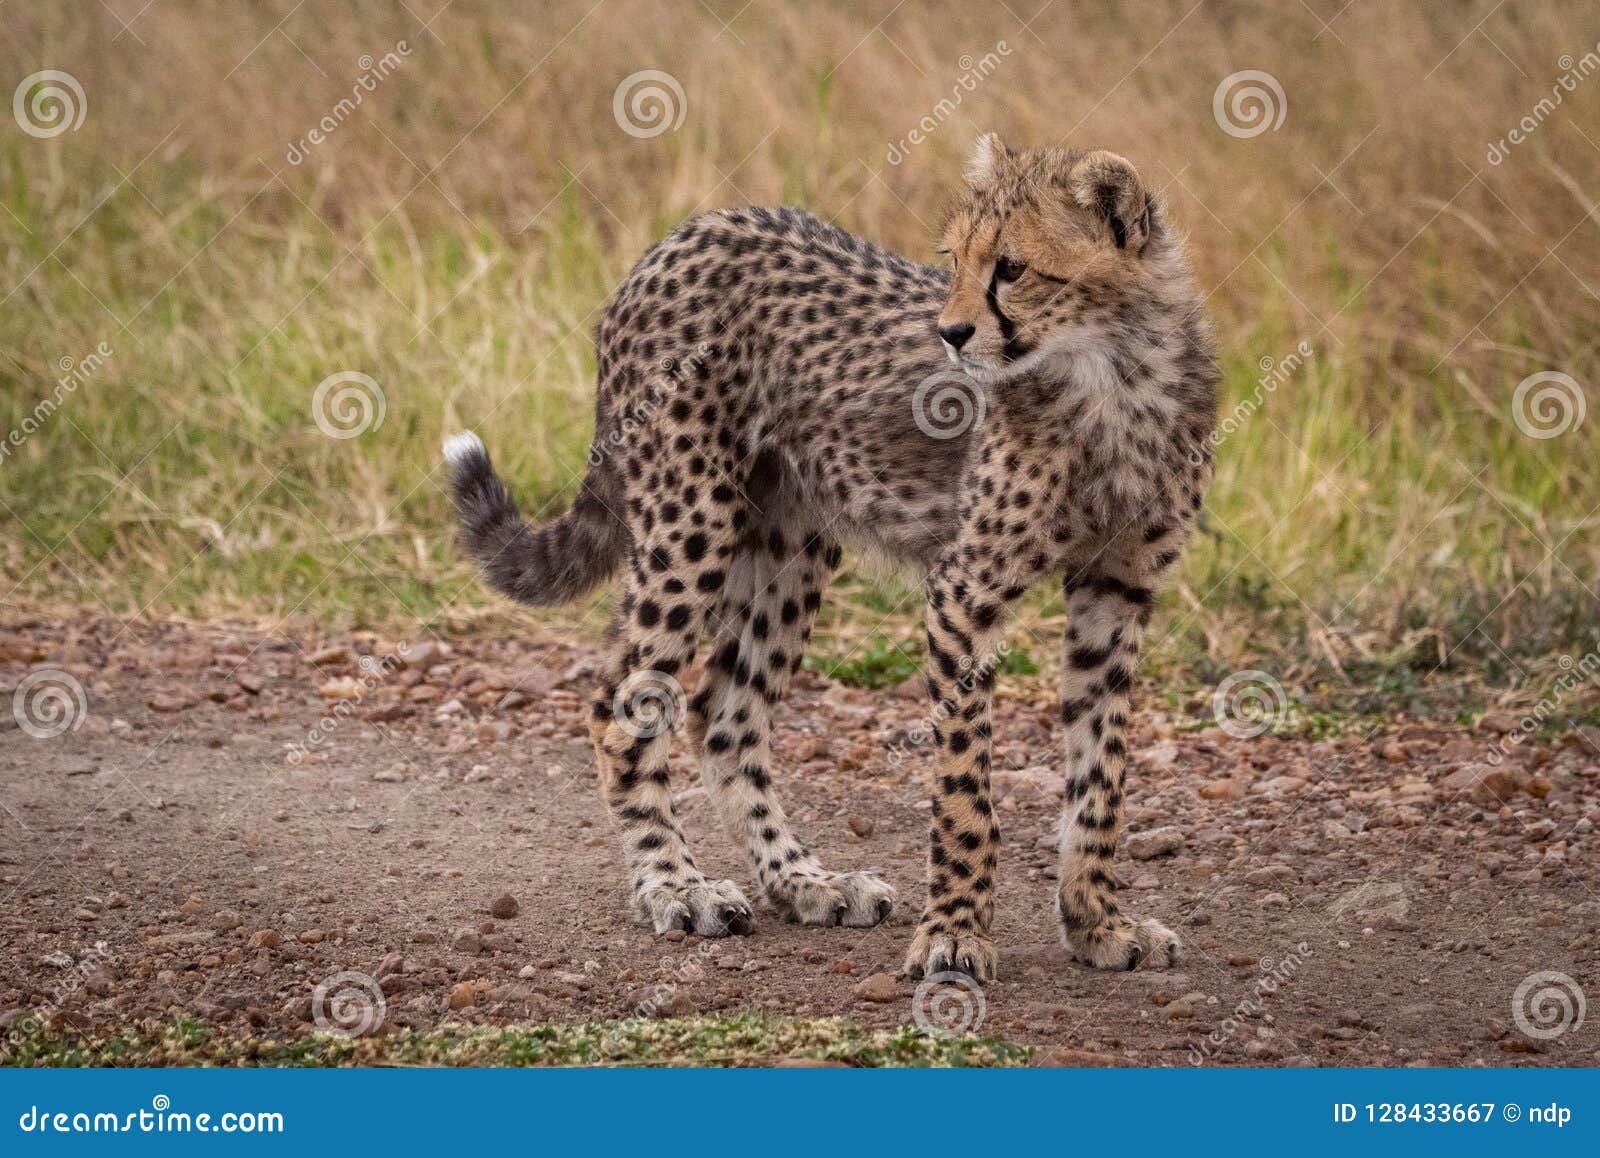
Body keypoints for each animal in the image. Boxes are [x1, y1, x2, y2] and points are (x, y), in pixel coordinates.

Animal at [444, 134, 1217, 981]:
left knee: (725, 713)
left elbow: (1101, 773)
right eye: (953, 259)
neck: (1112, 377)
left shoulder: (1117, 587)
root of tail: (687, 233)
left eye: (1012, 267)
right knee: (623, 701)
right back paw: (676, 886)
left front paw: (1097, 923)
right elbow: (965, 790)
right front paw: (954, 934)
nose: (949, 334)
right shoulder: (967, 591)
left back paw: (803, 881)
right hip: (691, 523)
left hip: (790, 546)